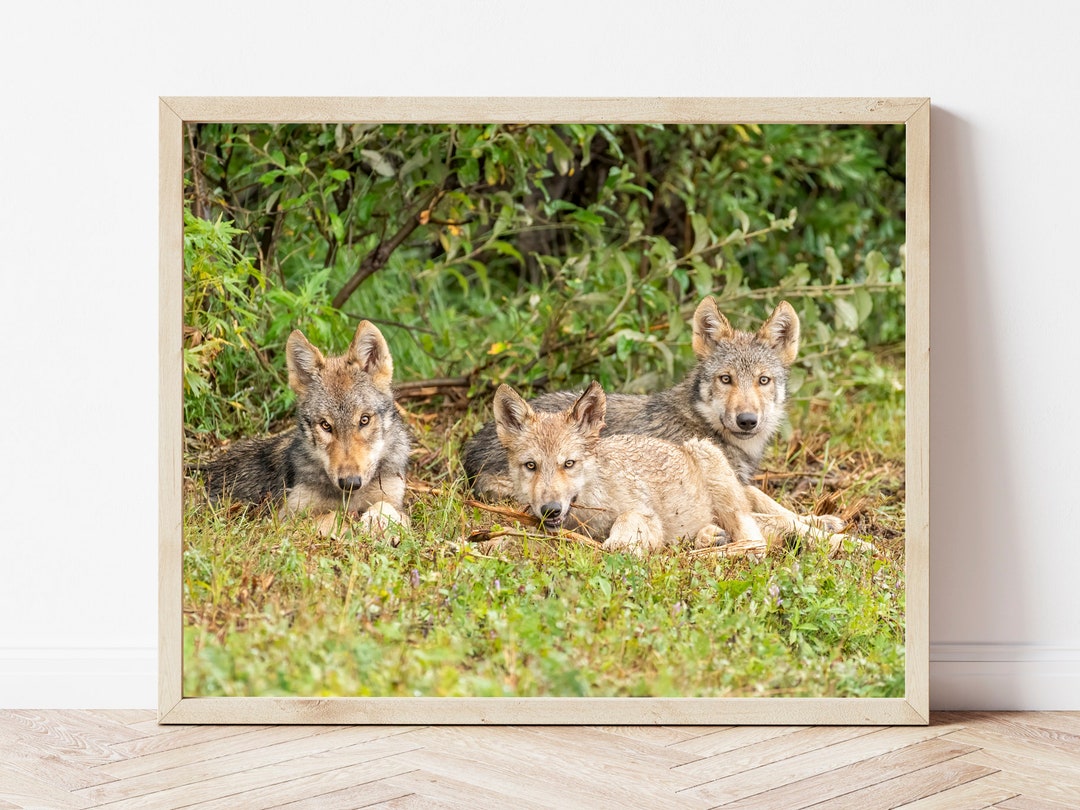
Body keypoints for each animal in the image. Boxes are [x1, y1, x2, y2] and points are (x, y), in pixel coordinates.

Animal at [199, 320, 410, 535]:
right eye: (326, 425)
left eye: (364, 420)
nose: (350, 483)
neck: (349, 498)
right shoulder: (280, 520)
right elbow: (334, 516)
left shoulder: (395, 501)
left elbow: (387, 507)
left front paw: (377, 522)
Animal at [492, 381, 855, 555]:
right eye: (531, 466)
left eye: (569, 464)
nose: (550, 509)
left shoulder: (641, 513)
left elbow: (627, 524)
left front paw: (621, 544)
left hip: (710, 462)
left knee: (759, 540)